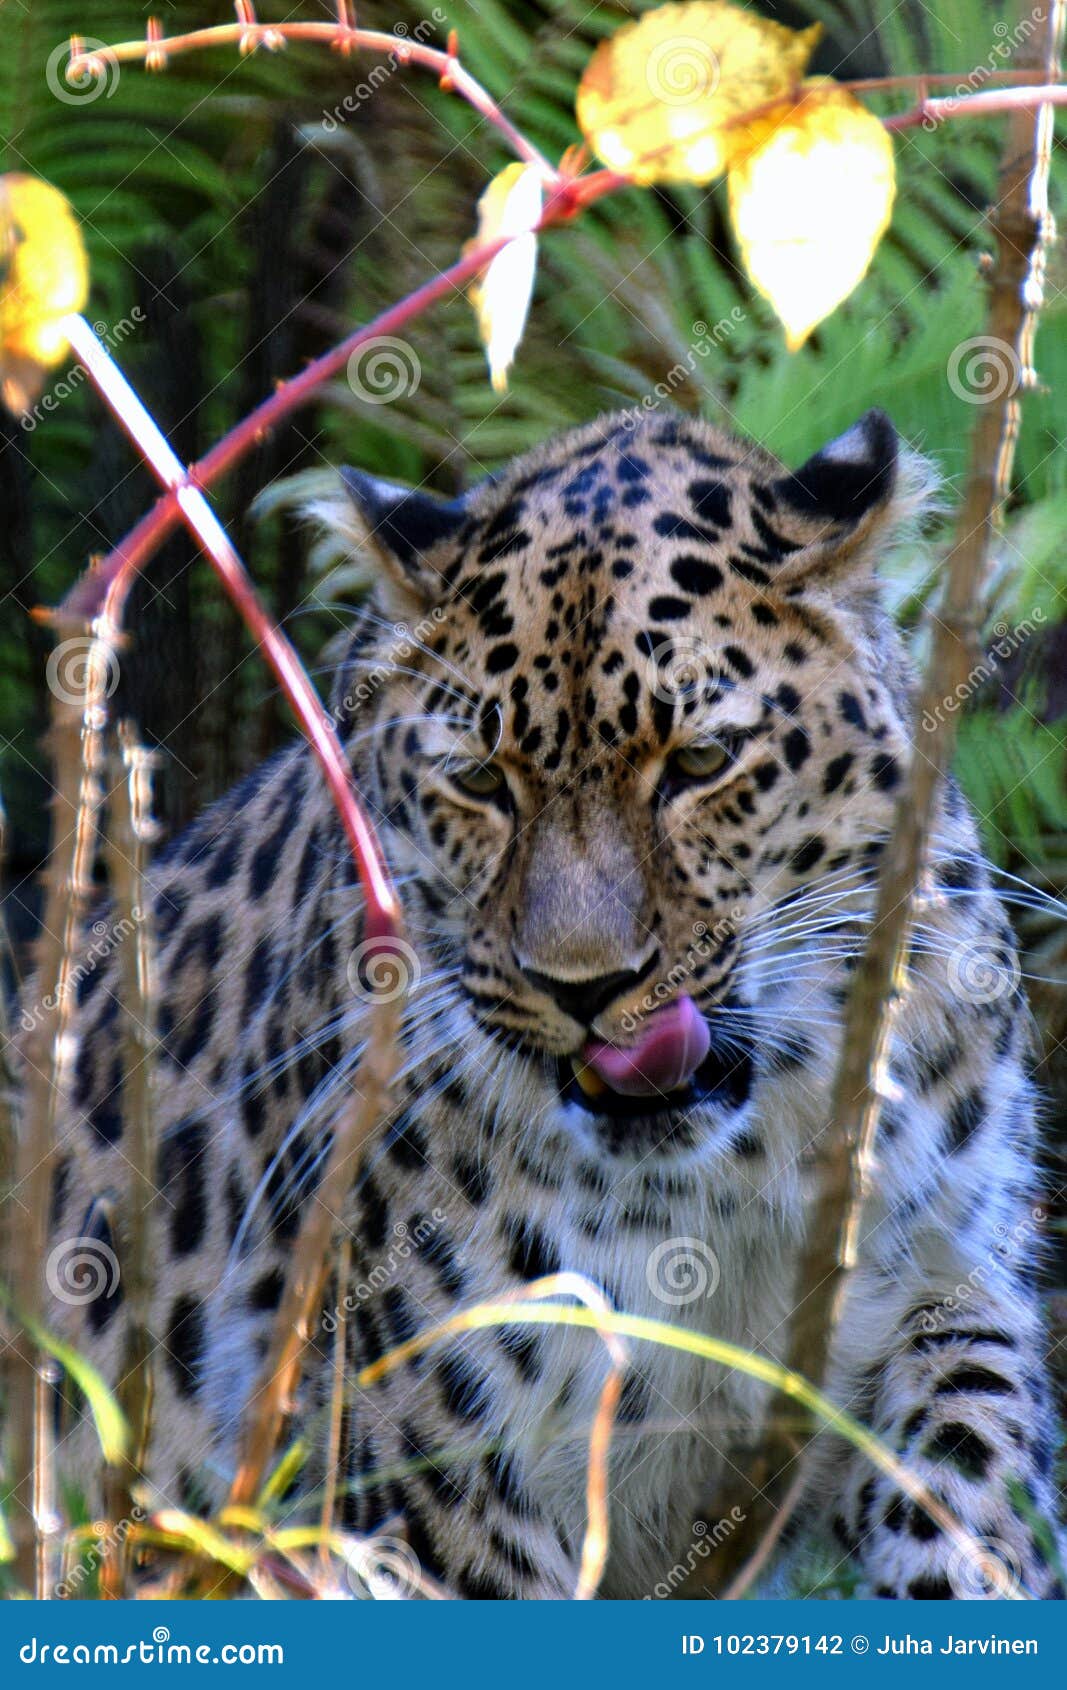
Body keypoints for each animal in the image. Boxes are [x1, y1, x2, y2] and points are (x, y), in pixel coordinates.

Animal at [38, 406, 1063, 1600]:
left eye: (700, 761)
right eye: (481, 780)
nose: (585, 984)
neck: (730, 1181)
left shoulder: (956, 1285)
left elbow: (969, 1471)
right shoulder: (437, 1467)